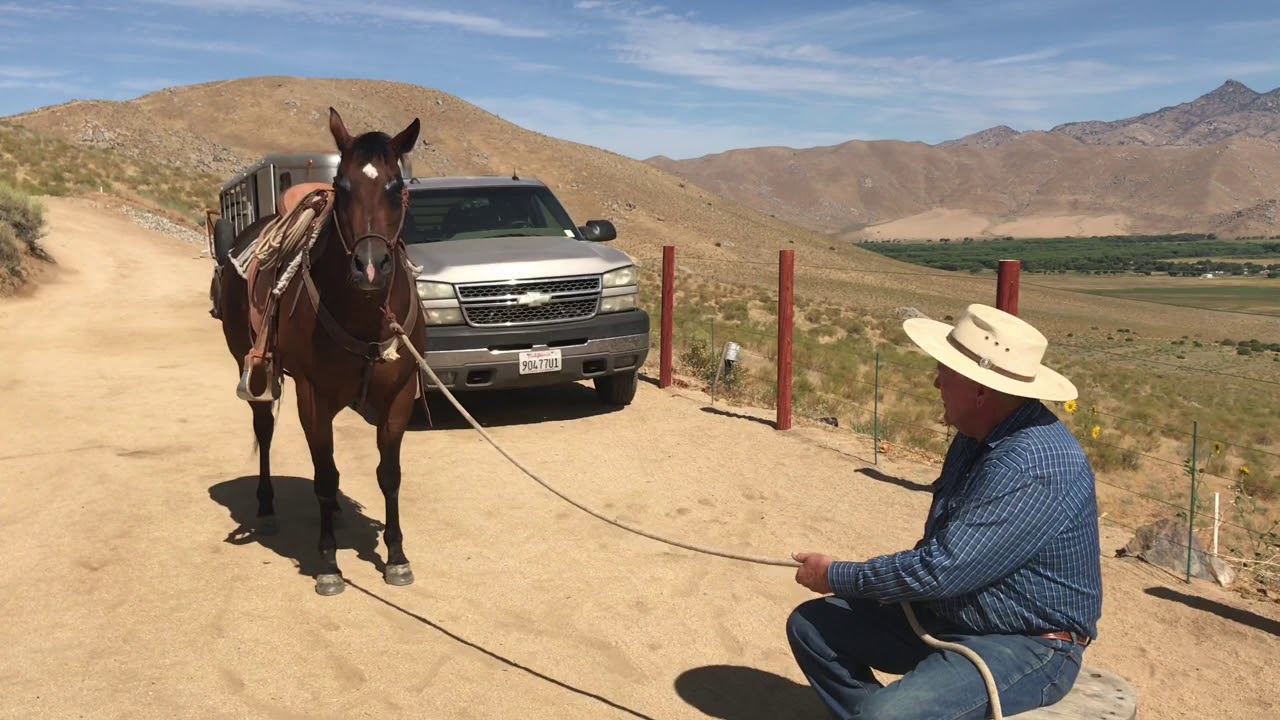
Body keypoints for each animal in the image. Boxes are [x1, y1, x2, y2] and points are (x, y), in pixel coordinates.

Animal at [212, 108, 427, 596]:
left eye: (398, 187)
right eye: (342, 187)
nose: (370, 267)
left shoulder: (398, 397)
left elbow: (389, 475)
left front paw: (397, 557)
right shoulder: (313, 396)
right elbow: (325, 476)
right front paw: (329, 563)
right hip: (254, 369)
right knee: (265, 432)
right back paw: (267, 508)